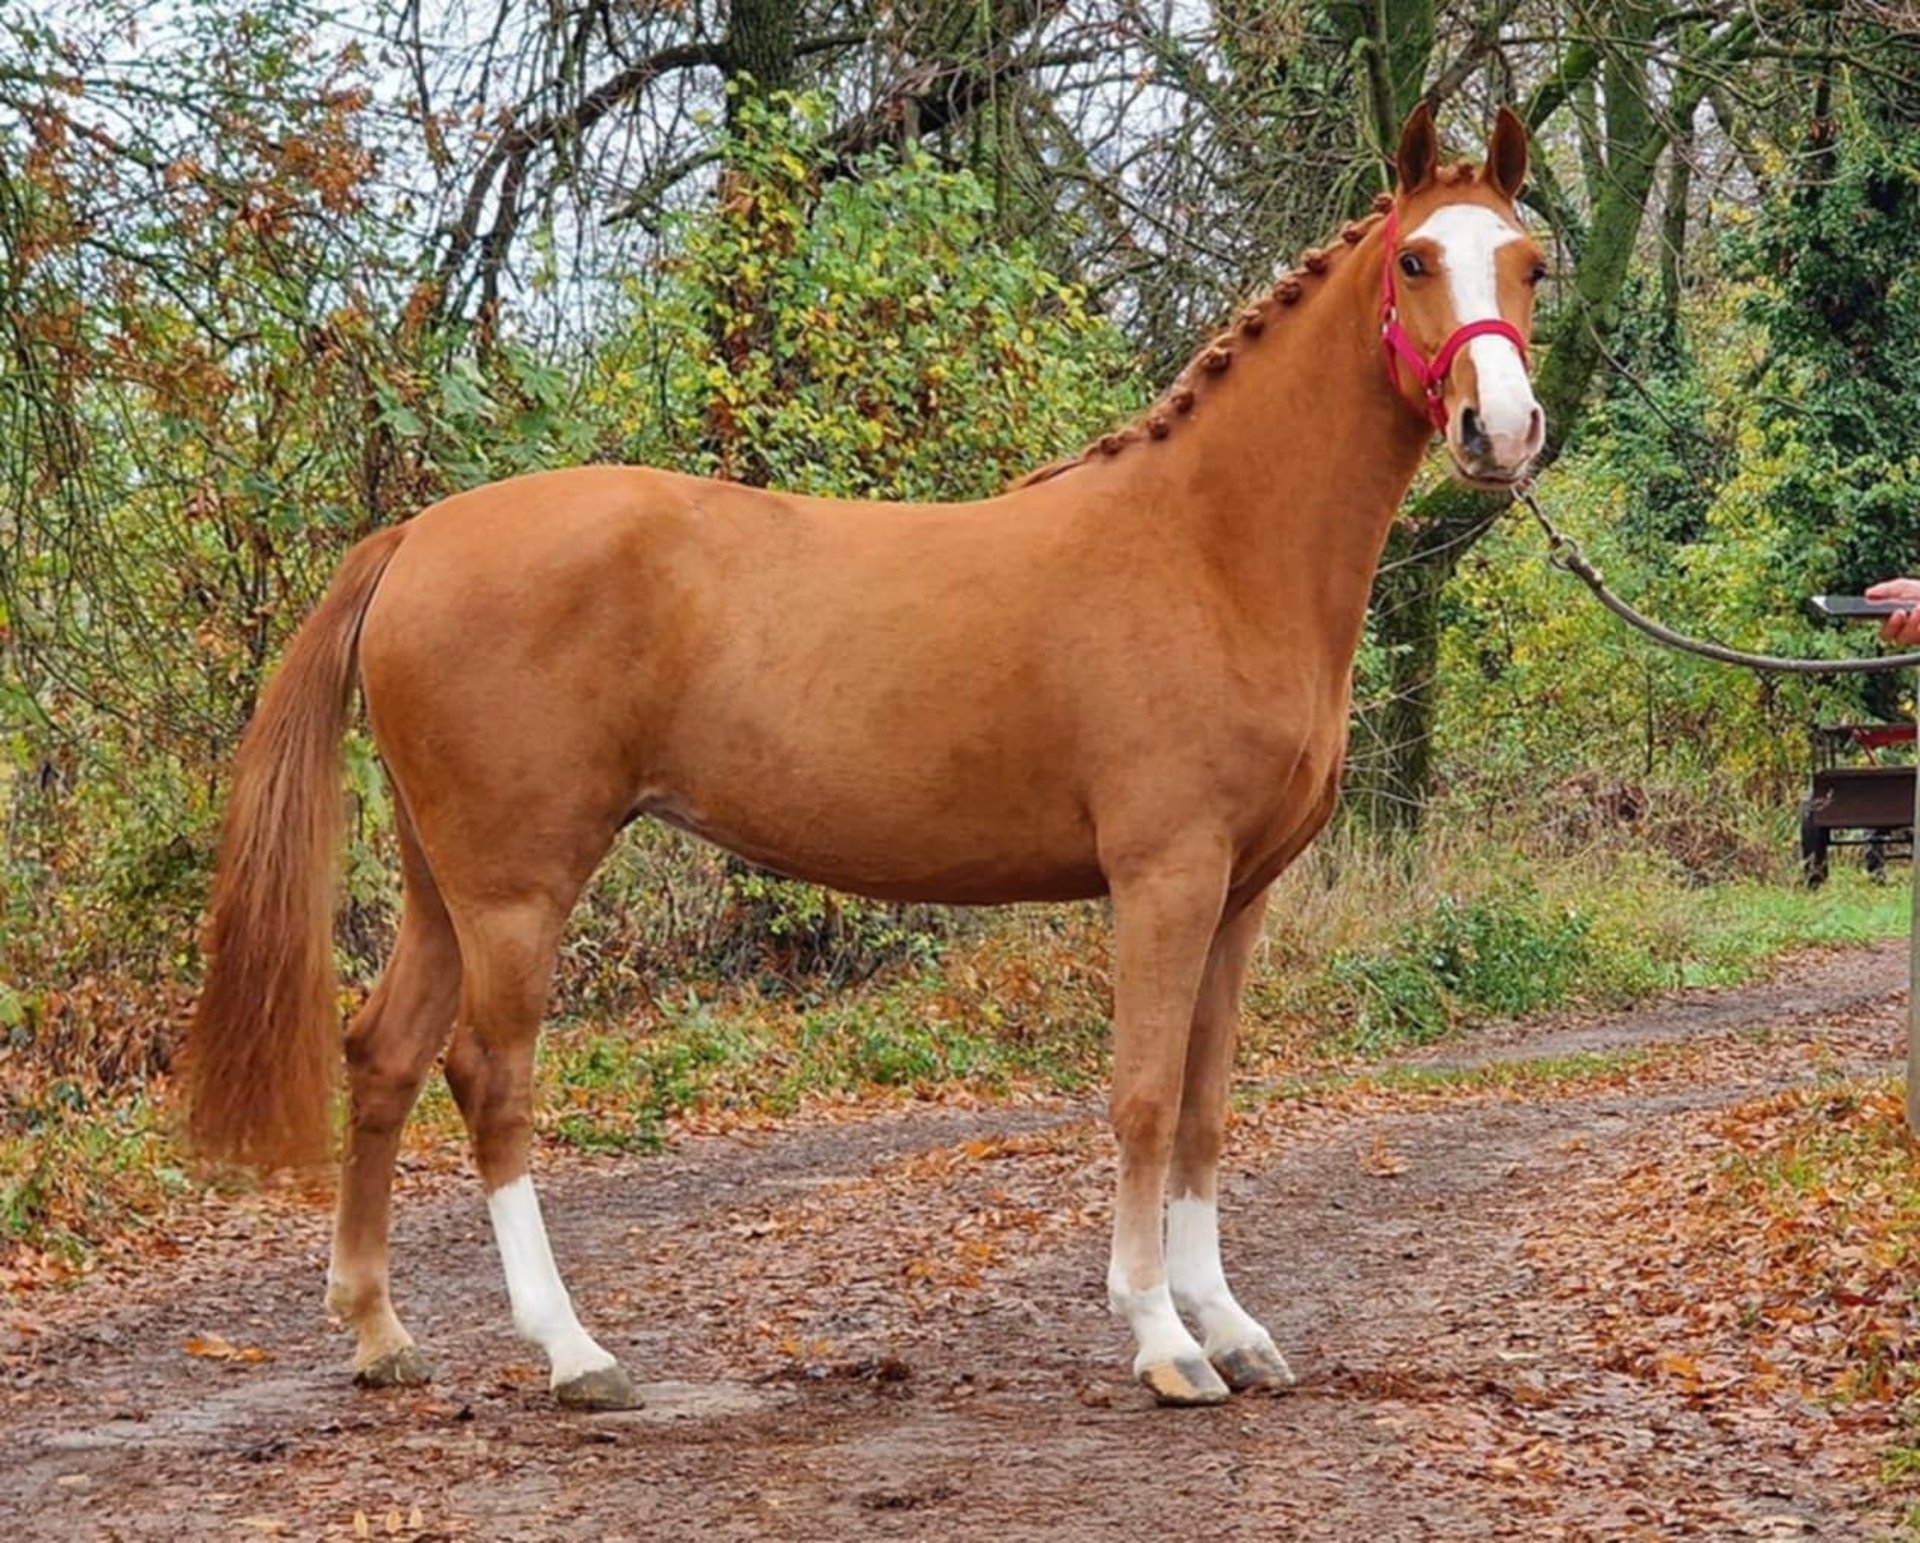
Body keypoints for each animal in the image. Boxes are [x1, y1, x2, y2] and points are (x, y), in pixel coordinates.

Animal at [186, 104, 1545, 1409]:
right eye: (1416, 259)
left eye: (1530, 262)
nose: (1503, 429)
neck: (1211, 550)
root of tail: (416, 538)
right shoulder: (1167, 878)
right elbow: (1146, 1097)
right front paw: (1164, 1340)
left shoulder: (1239, 893)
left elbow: (1207, 1108)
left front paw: (1232, 1328)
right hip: (519, 886)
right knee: (488, 1075)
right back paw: (574, 1354)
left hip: (444, 884)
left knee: (384, 1055)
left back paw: (380, 1333)